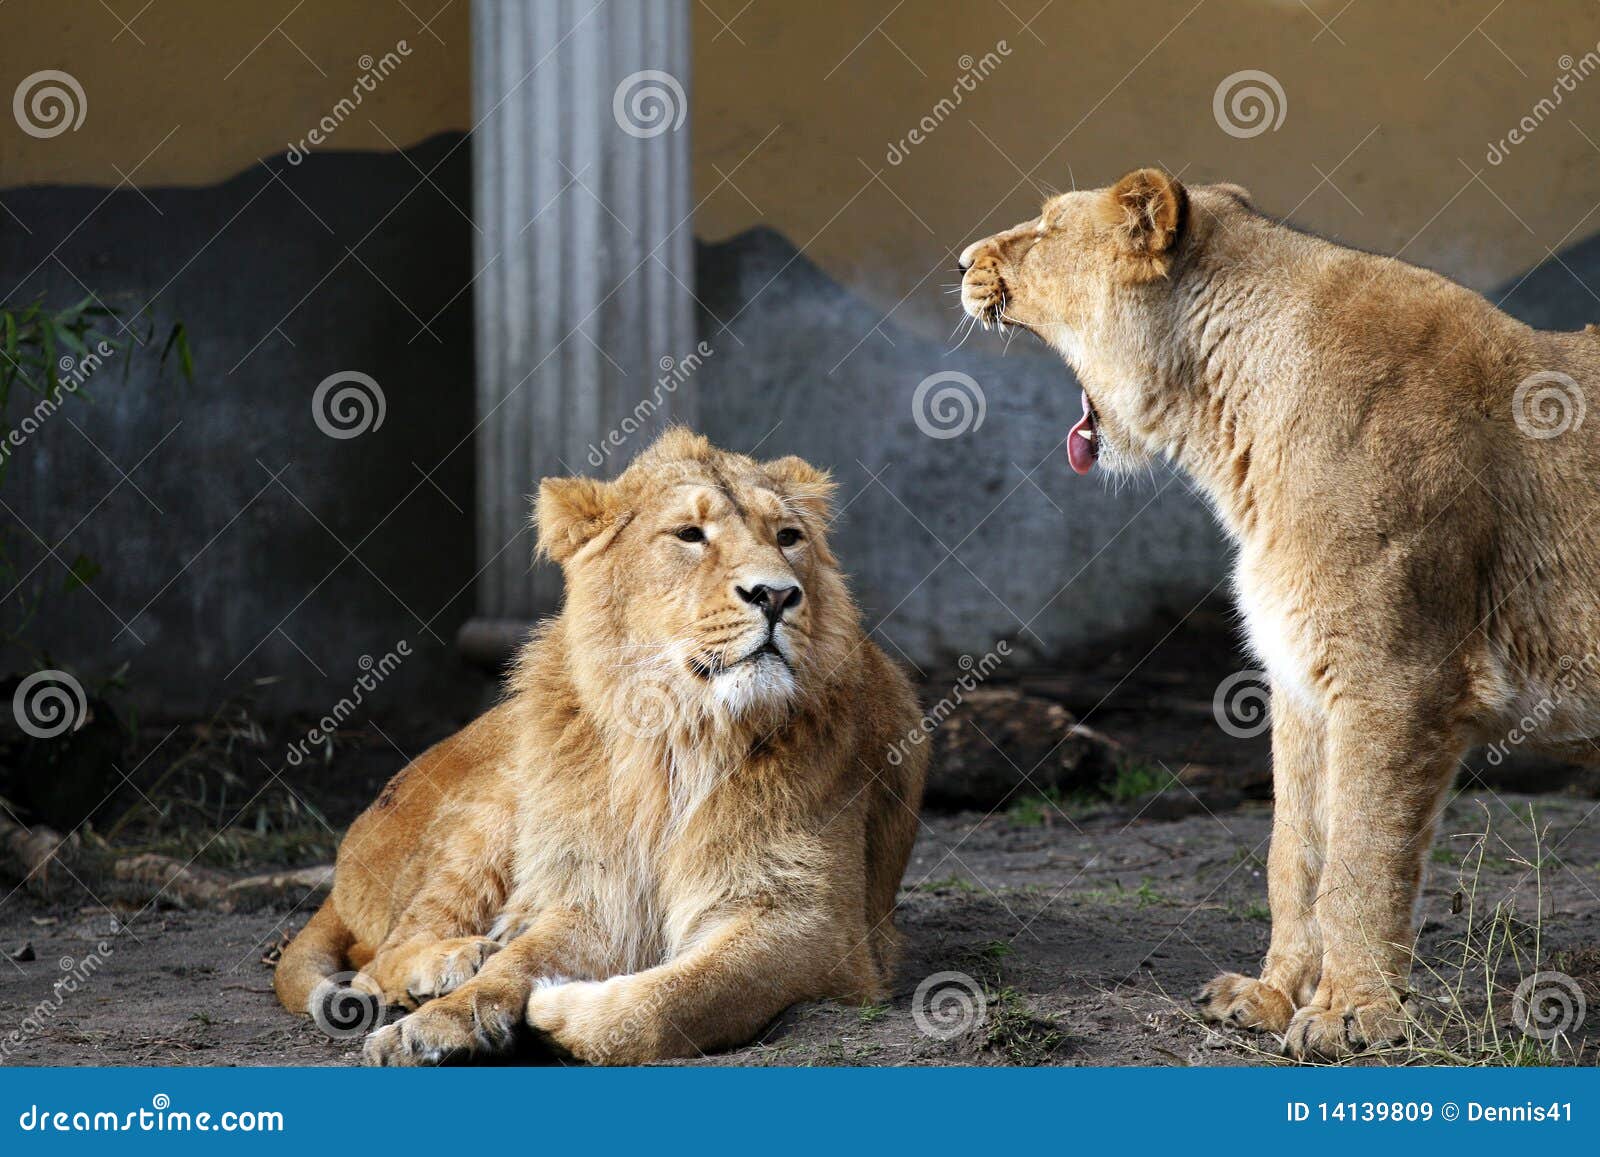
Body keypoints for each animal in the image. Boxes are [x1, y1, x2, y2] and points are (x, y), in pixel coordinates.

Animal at [273, 428, 927, 1065]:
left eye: (789, 537)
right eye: (690, 535)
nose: (776, 595)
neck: (676, 736)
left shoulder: (819, 928)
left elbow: (685, 994)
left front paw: (552, 1009)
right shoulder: (598, 896)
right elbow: (521, 964)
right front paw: (438, 1022)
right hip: (492, 808)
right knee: (381, 955)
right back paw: (454, 962)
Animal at [960, 168, 1600, 1058]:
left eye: (1048, 227)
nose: (961, 261)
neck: (1231, 422)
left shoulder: (1397, 680)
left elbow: (1361, 857)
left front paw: (1350, 1013)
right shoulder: (1301, 679)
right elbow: (1295, 854)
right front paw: (1268, 995)